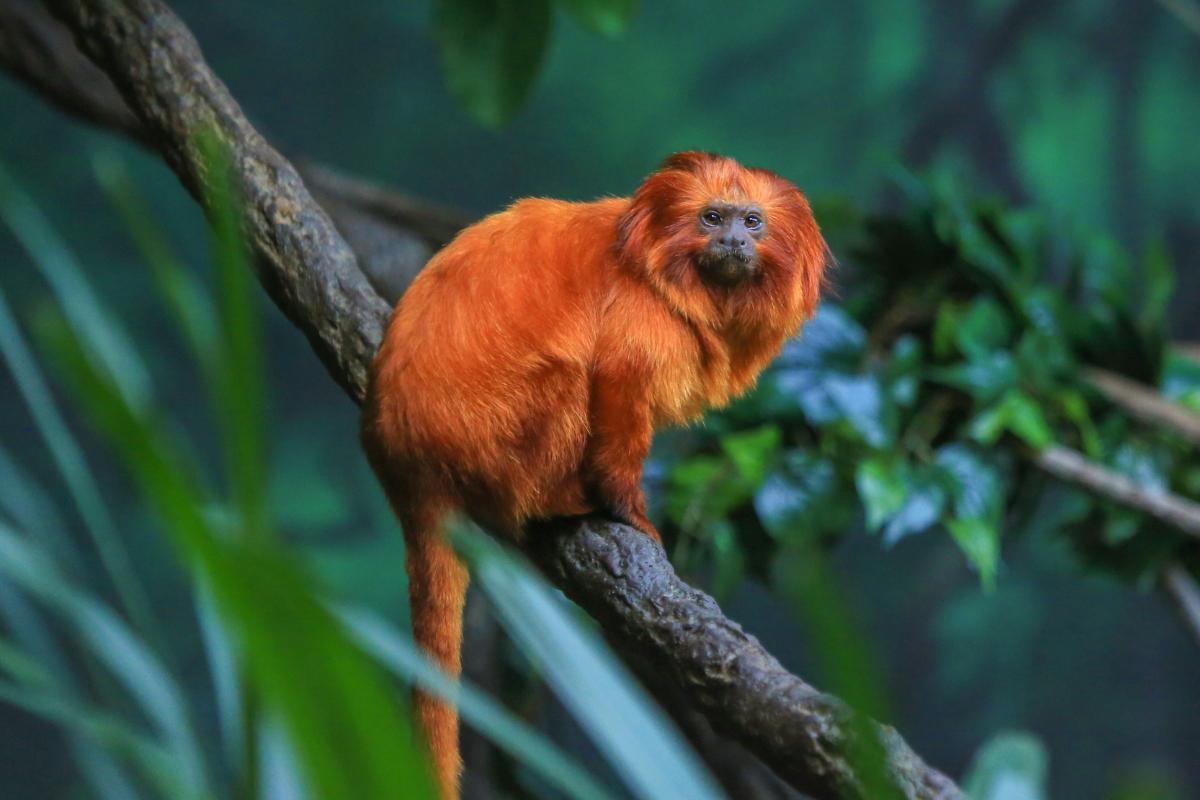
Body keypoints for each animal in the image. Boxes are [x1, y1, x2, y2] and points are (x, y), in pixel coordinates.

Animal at [360, 151, 828, 798]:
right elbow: (616, 390)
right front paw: (628, 512)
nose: (733, 240)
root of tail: (403, 454)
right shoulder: (642, 321)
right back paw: (558, 502)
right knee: (564, 376)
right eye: (712, 218)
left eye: (752, 222)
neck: (671, 275)